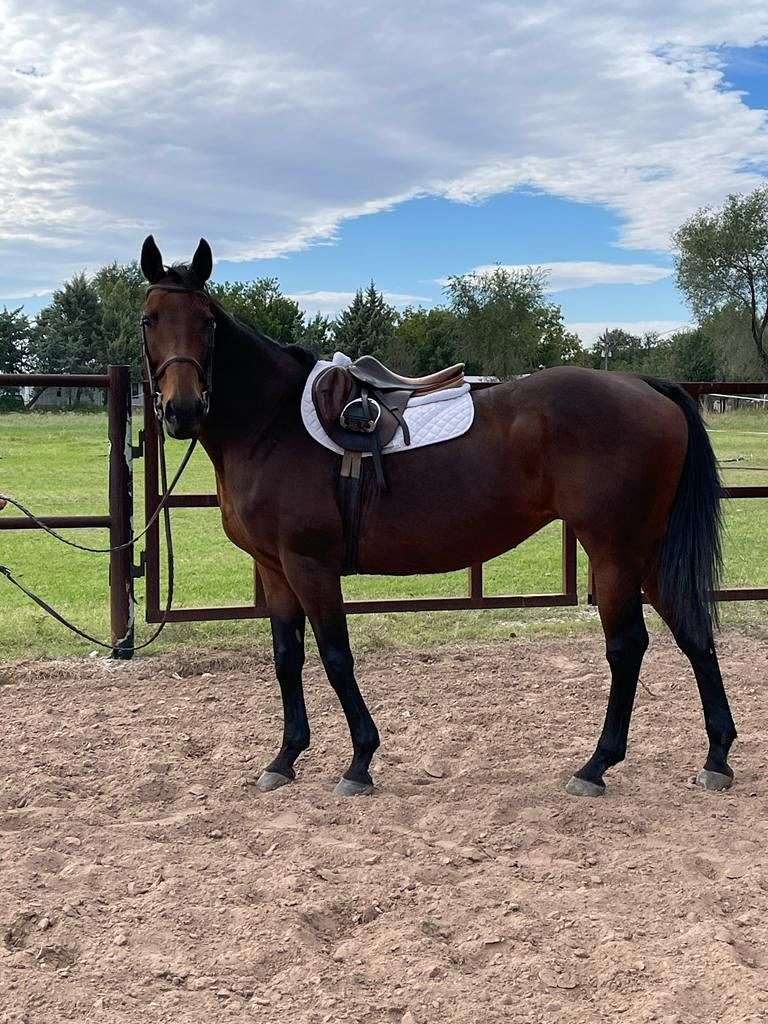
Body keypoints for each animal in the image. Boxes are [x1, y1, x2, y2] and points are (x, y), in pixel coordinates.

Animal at [138, 235, 737, 798]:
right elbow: (287, 657)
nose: (182, 411)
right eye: (149, 320)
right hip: (646, 551)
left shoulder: (310, 565)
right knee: (692, 630)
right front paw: (284, 759)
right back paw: (716, 757)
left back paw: (596, 766)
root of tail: (644, 385)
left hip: (614, 550)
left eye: (207, 323)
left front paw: (359, 762)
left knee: (627, 645)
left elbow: (335, 657)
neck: (274, 425)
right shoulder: (274, 568)